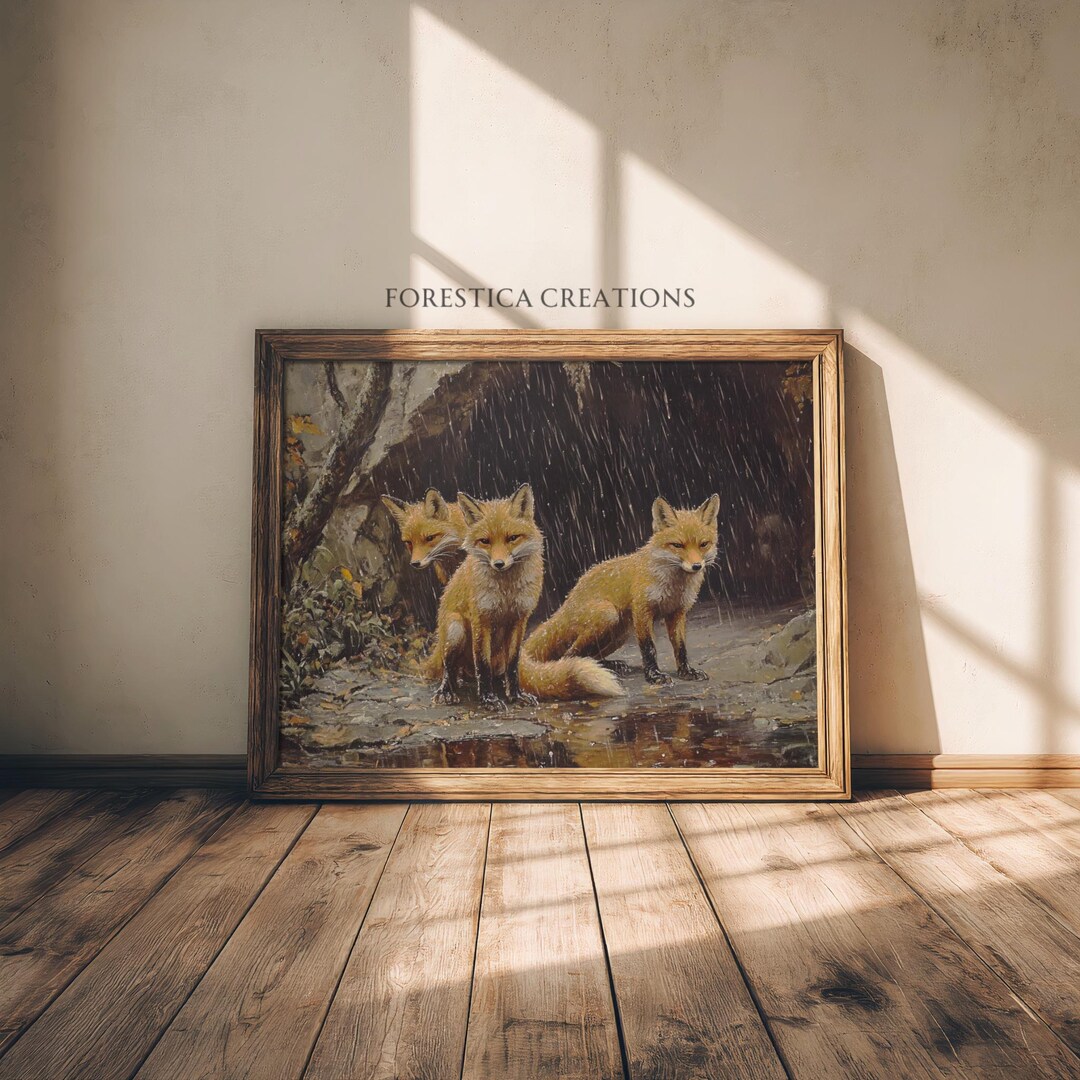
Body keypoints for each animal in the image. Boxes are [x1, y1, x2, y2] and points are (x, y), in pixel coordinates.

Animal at [424, 483, 622, 708]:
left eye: (512, 538)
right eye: (485, 541)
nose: (499, 564)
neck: (506, 592)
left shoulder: (519, 619)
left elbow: (512, 664)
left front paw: (515, 695)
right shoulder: (481, 620)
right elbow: (482, 664)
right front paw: (488, 699)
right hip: (455, 629)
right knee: (450, 668)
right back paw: (447, 690)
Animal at [524, 494, 720, 685]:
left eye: (703, 544)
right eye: (678, 545)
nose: (696, 566)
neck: (674, 586)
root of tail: (567, 603)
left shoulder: (677, 612)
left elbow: (680, 648)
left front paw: (686, 672)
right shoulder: (642, 610)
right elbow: (649, 648)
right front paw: (654, 676)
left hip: (621, 632)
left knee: (586, 655)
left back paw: (610, 665)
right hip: (607, 615)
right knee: (568, 655)